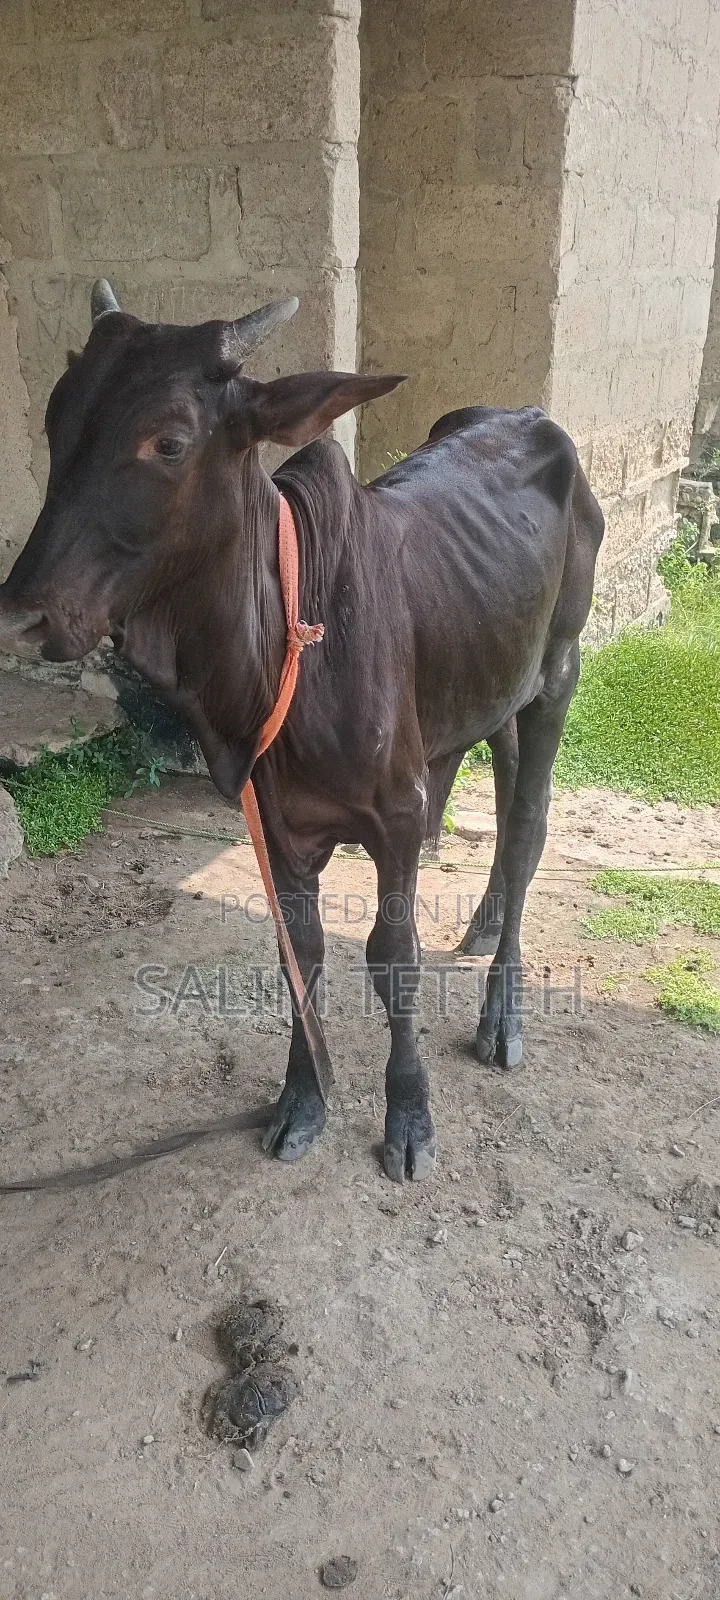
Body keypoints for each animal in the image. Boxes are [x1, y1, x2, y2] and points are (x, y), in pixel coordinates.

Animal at [0, 282, 604, 1182]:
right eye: (54, 421)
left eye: (168, 441)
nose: (24, 615)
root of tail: (531, 415)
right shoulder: (276, 821)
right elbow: (302, 952)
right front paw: (300, 1100)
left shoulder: (392, 814)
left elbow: (393, 957)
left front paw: (409, 1117)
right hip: (495, 677)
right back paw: (484, 922)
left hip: (559, 670)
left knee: (526, 828)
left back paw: (503, 1011)